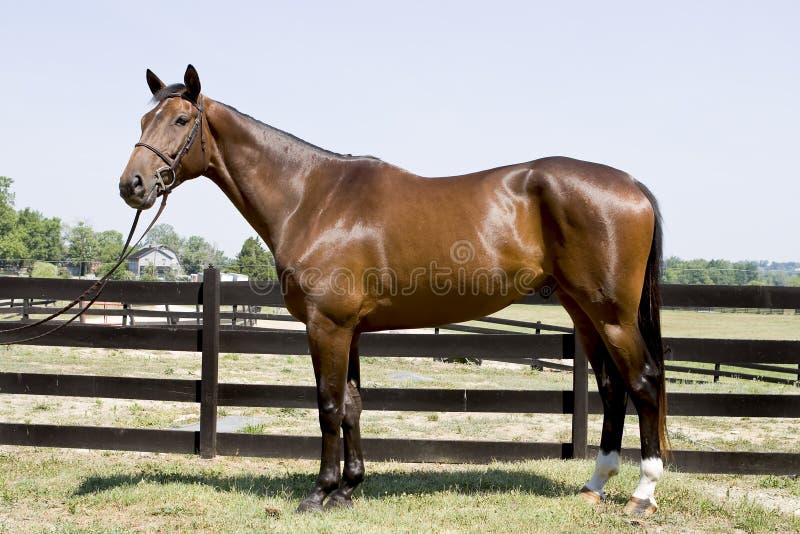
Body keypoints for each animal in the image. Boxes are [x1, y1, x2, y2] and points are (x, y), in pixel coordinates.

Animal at [119, 65, 668, 517]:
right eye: (143, 119)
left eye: (181, 119)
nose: (133, 185)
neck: (313, 198)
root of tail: (631, 184)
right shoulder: (351, 331)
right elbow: (353, 405)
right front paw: (348, 488)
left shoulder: (327, 327)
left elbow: (328, 406)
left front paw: (319, 493)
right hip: (583, 312)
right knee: (613, 389)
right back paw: (595, 485)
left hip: (612, 314)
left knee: (644, 382)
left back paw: (642, 495)